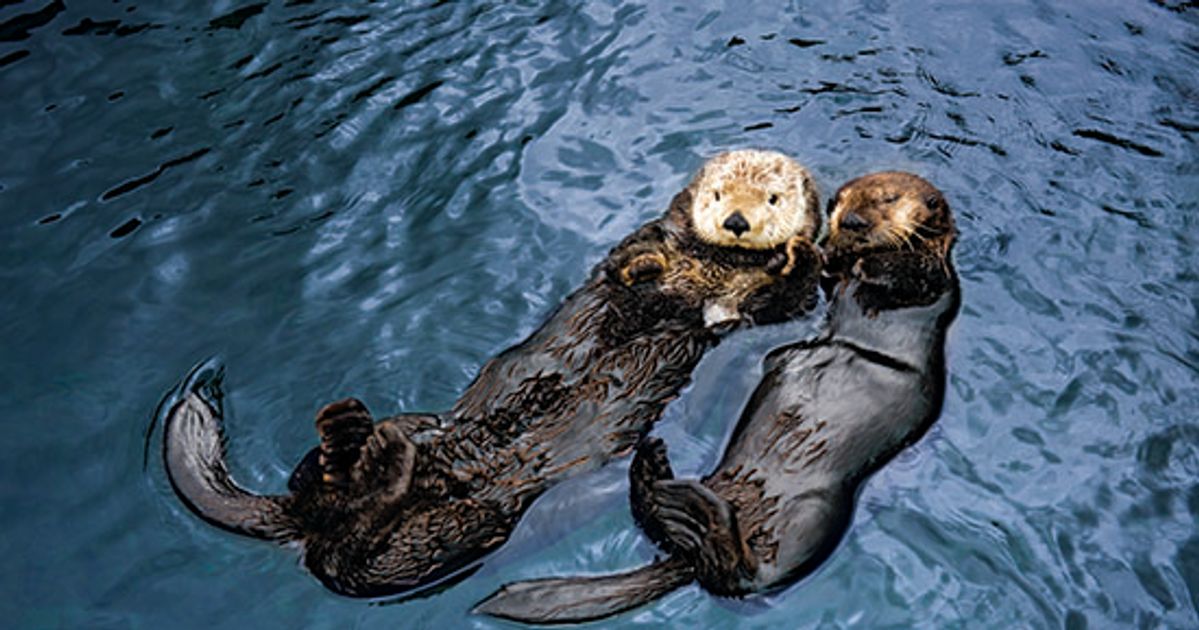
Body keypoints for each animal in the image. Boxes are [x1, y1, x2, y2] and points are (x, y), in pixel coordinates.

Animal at [159, 150, 824, 598]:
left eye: (772, 200)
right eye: (717, 195)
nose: (737, 221)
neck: (710, 267)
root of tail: (305, 519)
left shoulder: (758, 308)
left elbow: (787, 294)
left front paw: (796, 255)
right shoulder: (650, 245)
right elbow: (627, 262)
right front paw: (643, 265)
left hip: (462, 533)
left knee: (351, 565)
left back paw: (374, 462)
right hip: (422, 437)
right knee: (330, 520)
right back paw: (349, 442)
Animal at [475, 171, 960, 623]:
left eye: (889, 199)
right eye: (839, 201)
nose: (852, 221)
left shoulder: (938, 283)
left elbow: (916, 275)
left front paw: (869, 259)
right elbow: (821, 277)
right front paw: (808, 251)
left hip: (815, 517)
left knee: (740, 575)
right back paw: (656, 479)